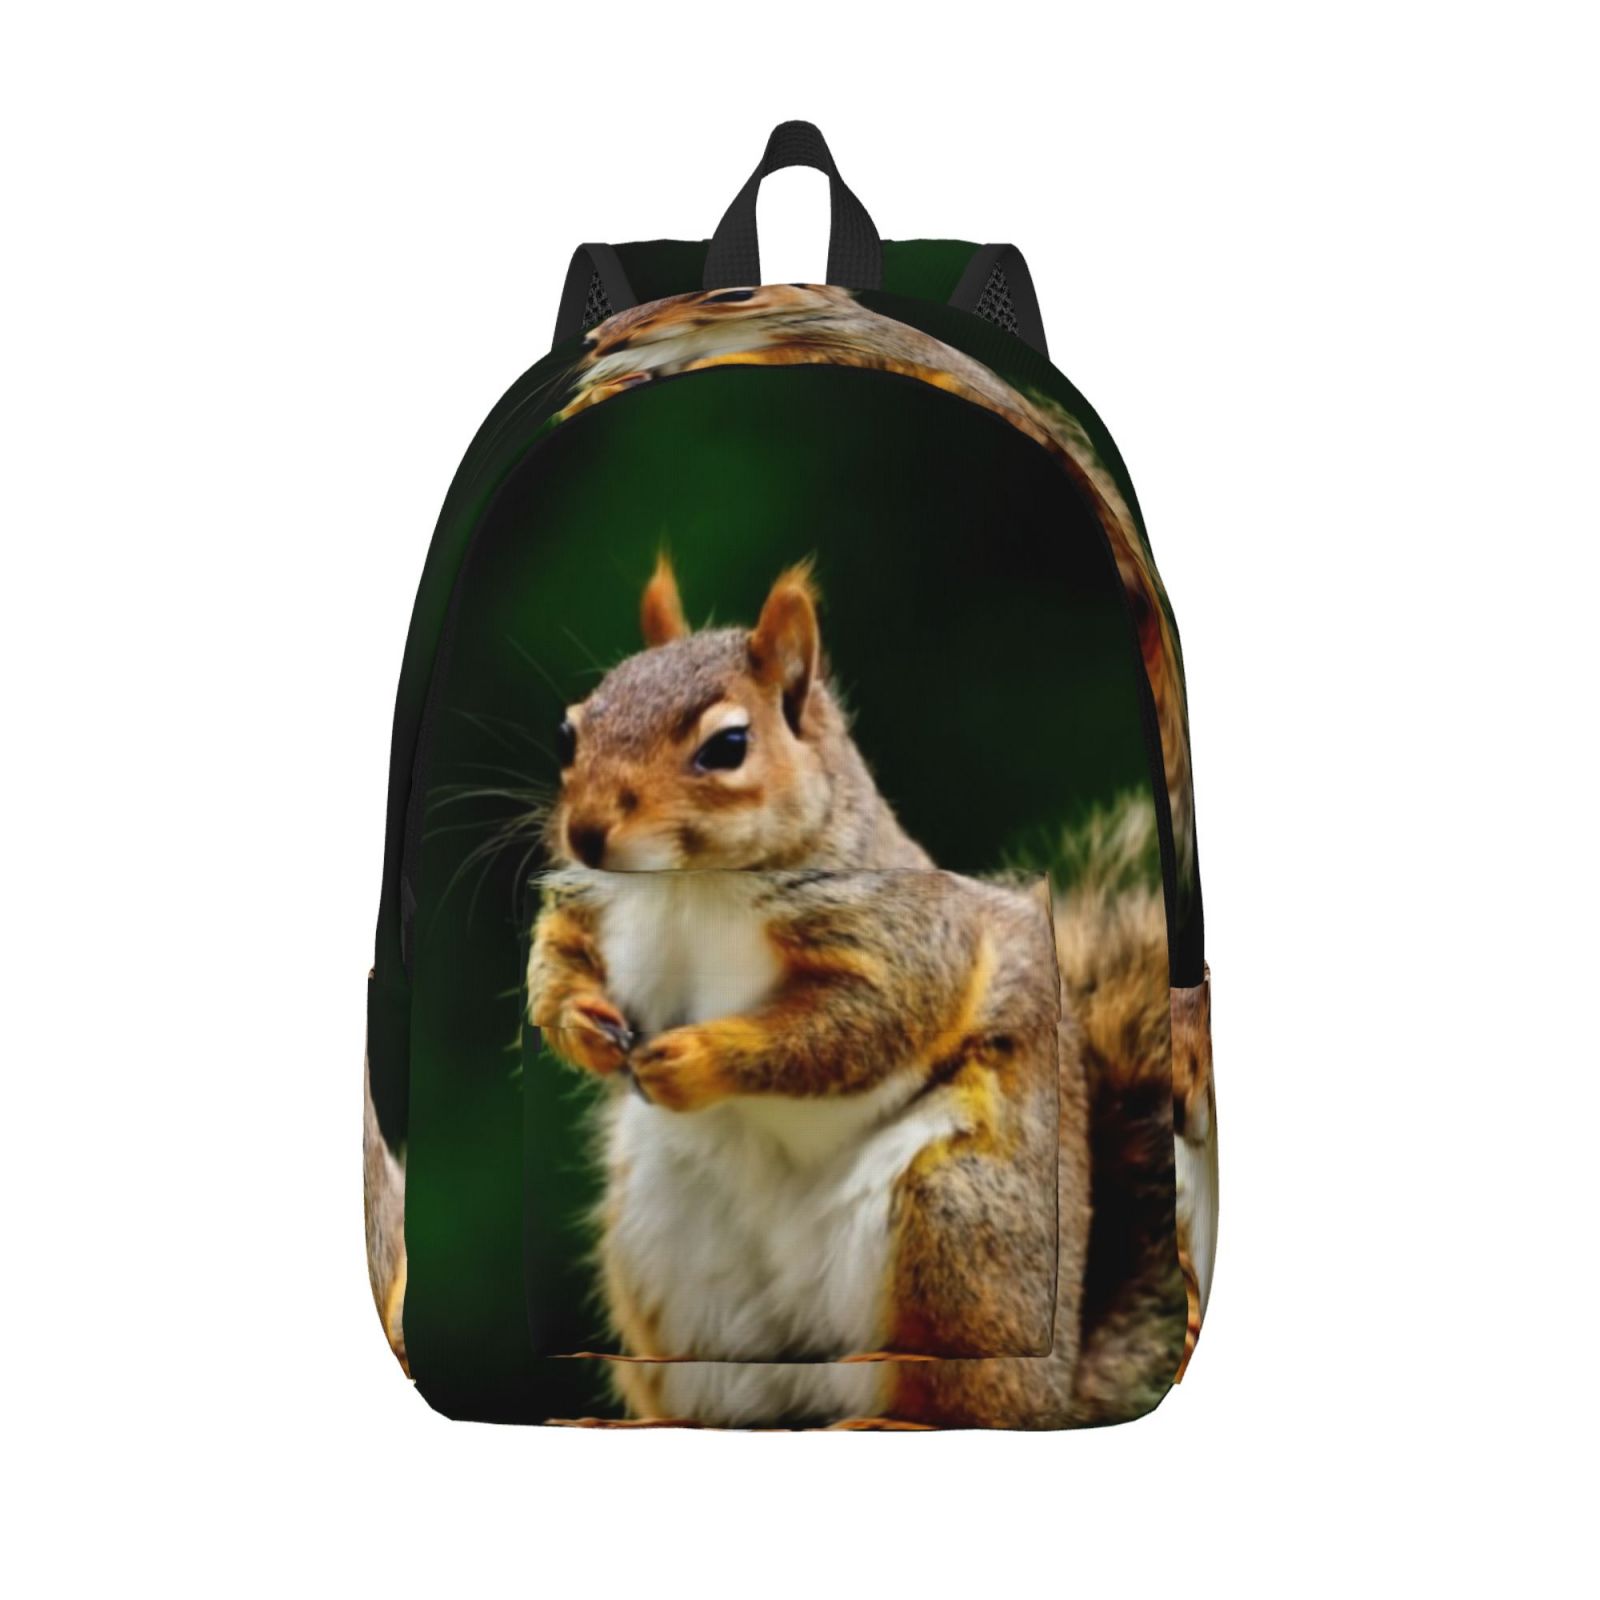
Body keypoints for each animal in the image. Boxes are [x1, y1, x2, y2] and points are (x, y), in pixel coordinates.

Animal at [526, 557, 1190, 1427]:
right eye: (569, 731)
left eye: (727, 746)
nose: (587, 833)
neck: (688, 885)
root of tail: (1057, 1383)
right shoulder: (591, 905)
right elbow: (555, 963)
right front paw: (581, 1024)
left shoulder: (903, 940)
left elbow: (859, 1025)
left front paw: (697, 1057)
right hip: (661, 1249)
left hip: (952, 1219)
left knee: (963, 1405)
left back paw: (899, 1415)